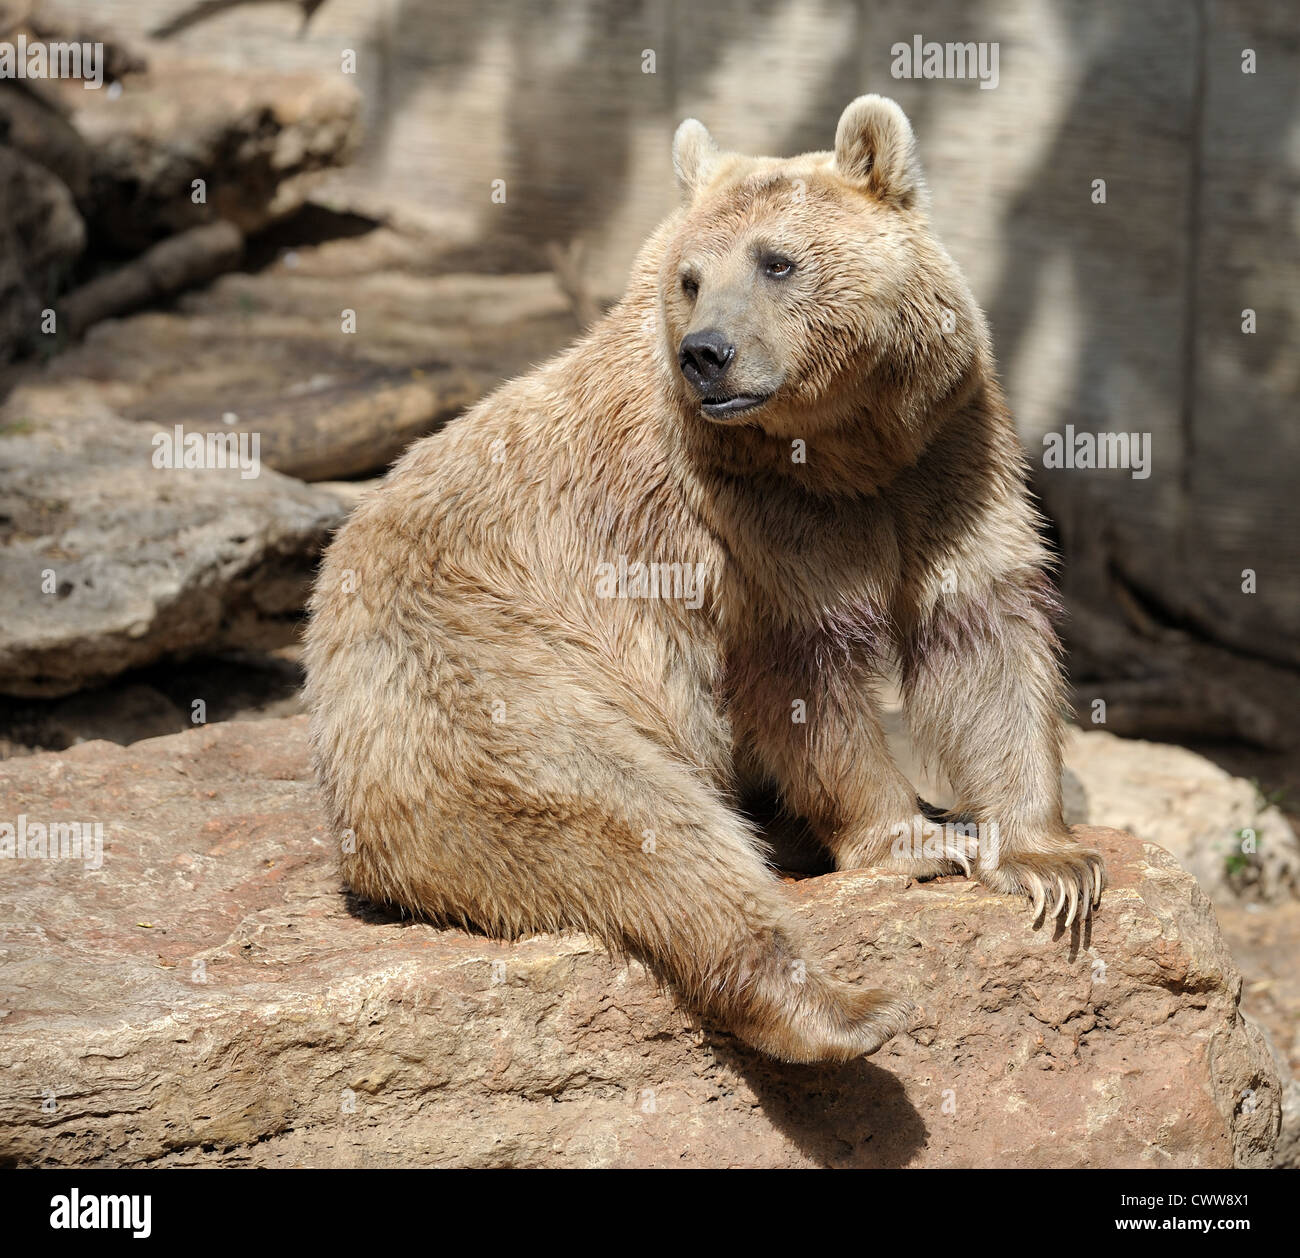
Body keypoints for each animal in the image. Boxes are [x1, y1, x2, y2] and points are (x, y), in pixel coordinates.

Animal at [303, 95, 1105, 1064]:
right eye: (690, 278)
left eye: (776, 260)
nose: (706, 354)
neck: (842, 452)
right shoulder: (738, 519)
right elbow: (800, 675)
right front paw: (916, 838)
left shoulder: (946, 458)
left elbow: (984, 632)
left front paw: (1049, 862)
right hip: (482, 670)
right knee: (633, 819)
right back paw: (842, 1009)